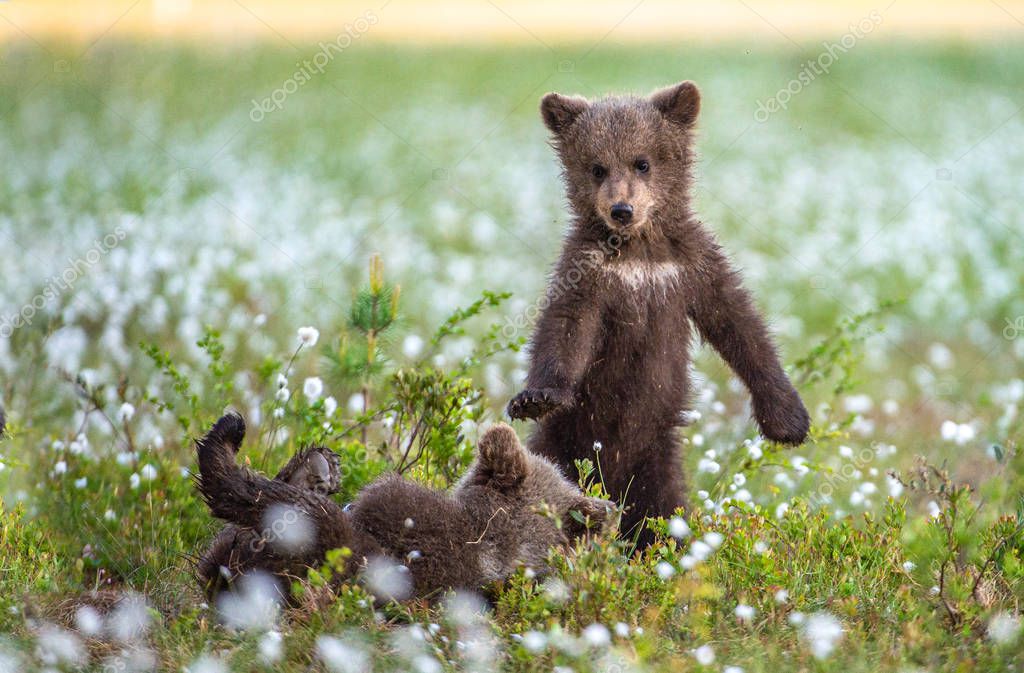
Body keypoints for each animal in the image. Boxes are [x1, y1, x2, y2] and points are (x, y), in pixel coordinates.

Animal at [507, 80, 810, 548]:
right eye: (597, 167)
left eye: (642, 162)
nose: (621, 209)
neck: (639, 251)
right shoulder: (590, 271)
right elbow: (566, 328)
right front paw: (536, 395)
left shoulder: (692, 265)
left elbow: (739, 325)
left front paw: (788, 420)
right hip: (559, 447)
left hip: (657, 460)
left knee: (662, 510)